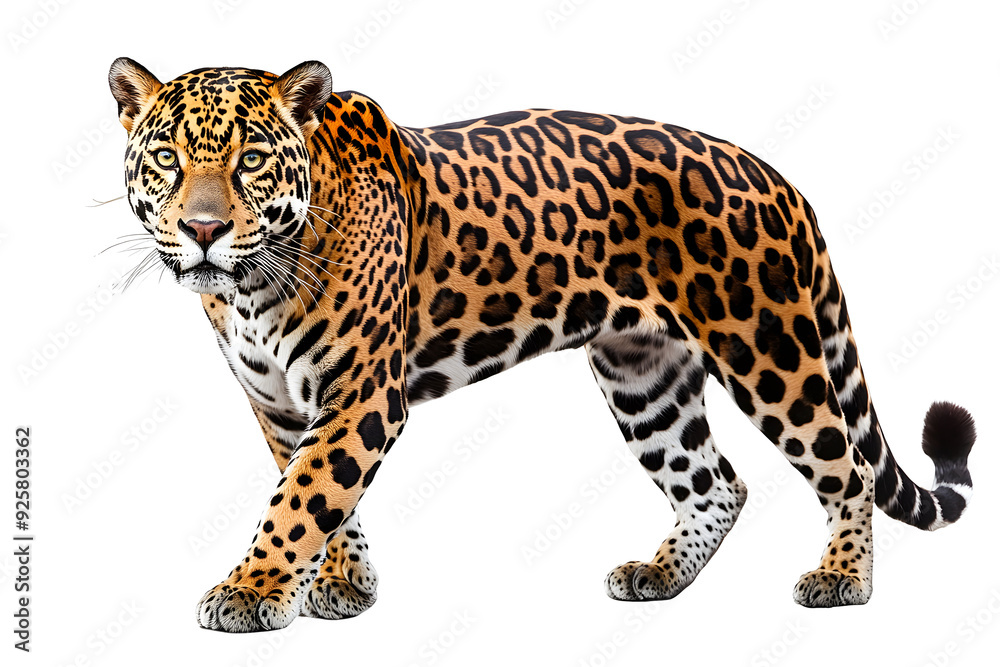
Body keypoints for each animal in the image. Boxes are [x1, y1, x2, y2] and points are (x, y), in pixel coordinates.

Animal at [108, 57, 977, 632]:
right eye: (167, 159)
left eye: (251, 160)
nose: (204, 229)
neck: (254, 285)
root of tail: (777, 177)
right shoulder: (280, 403)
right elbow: (323, 496)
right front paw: (344, 586)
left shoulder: (359, 394)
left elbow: (304, 495)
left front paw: (251, 591)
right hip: (643, 376)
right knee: (715, 484)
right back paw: (657, 575)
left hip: (769, 348)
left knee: (845, 465)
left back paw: (840, 579)